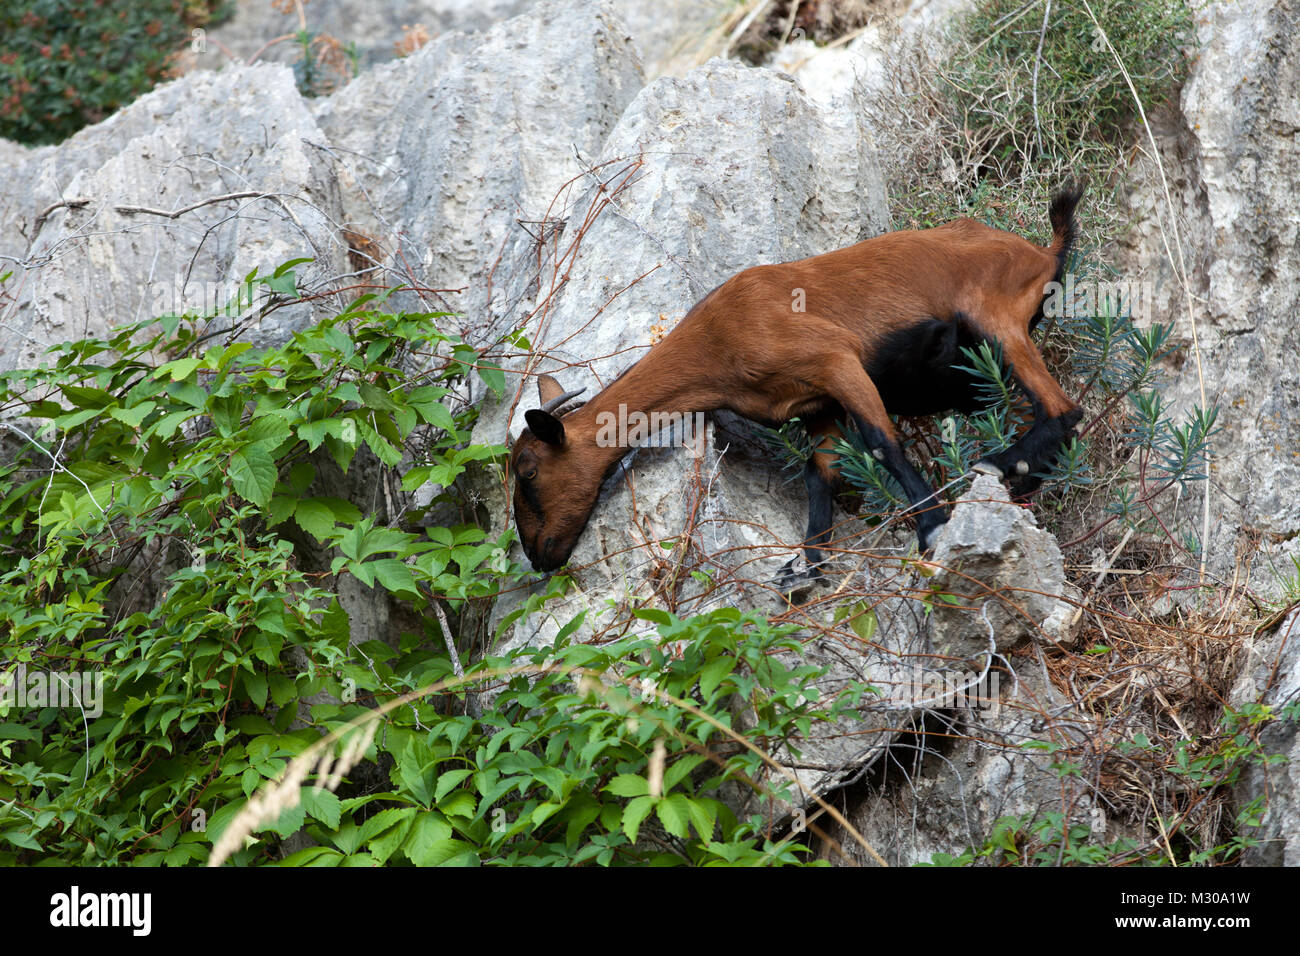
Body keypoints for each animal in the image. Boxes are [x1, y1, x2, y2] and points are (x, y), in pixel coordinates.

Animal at [509, 185, 1085, 577]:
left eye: (528, 472)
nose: (538, 556)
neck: (718, 340)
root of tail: (1043, 252)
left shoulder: (835, 360)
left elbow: (883, 444)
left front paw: (932, 527)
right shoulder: (816, 406)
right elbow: (818, 473)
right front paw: (804, 565)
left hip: (996, 320)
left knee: (1062, 408)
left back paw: (1001, 465)